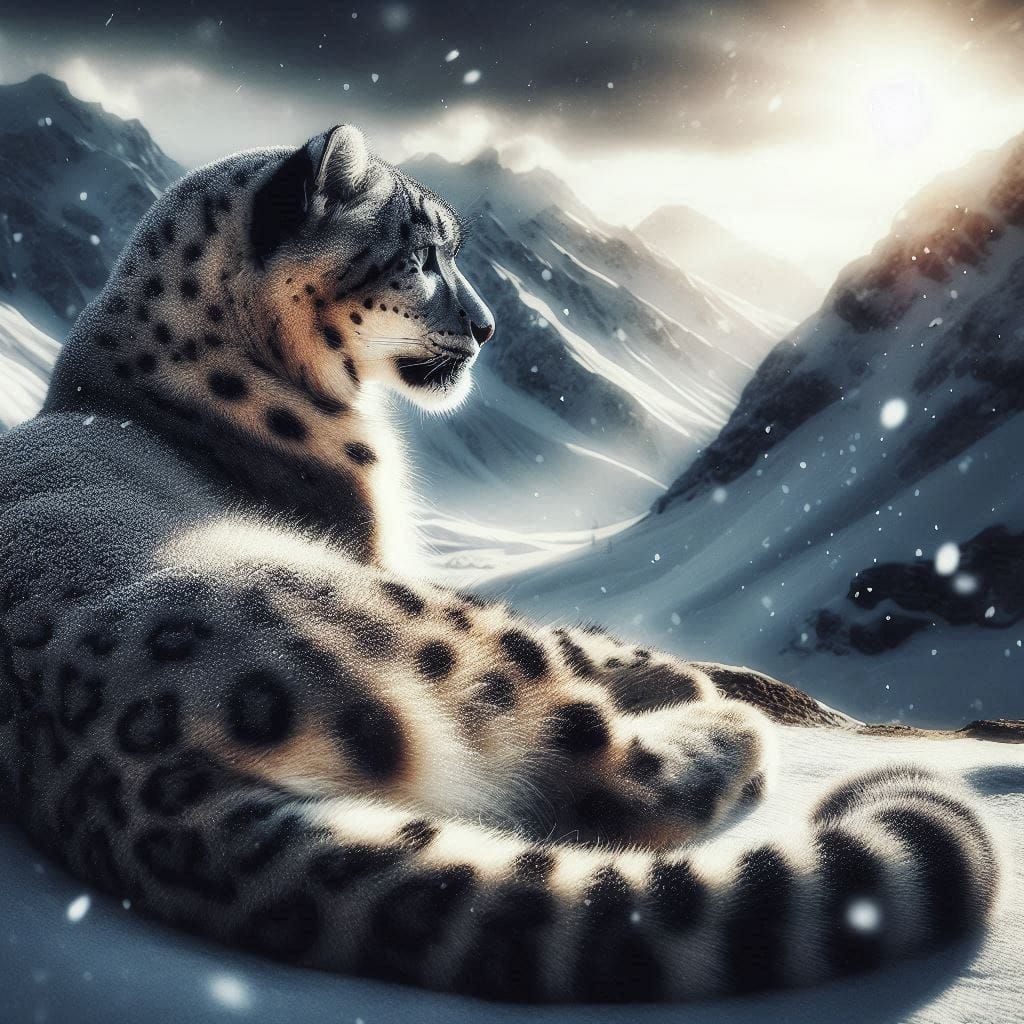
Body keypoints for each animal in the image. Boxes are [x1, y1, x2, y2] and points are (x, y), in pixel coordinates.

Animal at [0, 124, 1000, 1002]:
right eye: (420, 255)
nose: (485, 328)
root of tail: (112, 768)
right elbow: (595, 645)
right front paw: (693, 675)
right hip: (419, 617)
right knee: (590, 759)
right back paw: (726, 726)